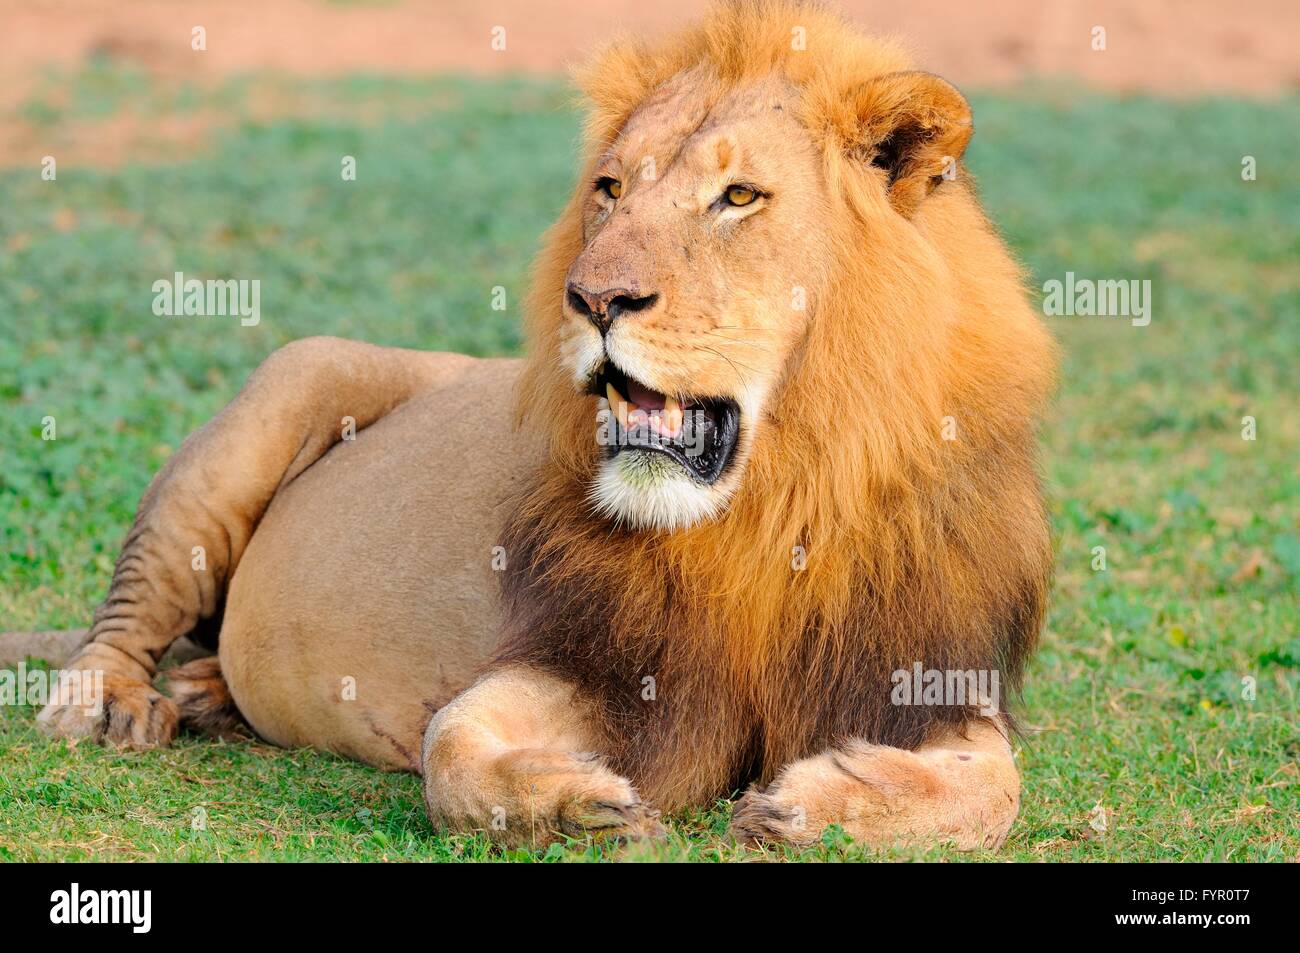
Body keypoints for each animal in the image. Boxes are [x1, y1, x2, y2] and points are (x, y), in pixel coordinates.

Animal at [39, 0, 1055, 851]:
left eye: (738, 197)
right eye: (608, 189)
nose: (595, 297)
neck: (773, 506)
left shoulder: (922, 666)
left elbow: (996, 786)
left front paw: (813, 800)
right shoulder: (589, 657)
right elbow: (451, 743)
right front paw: (575, 803)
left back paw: (205, 689)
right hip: (283, 389)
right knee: (132, 605)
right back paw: (109, 702)